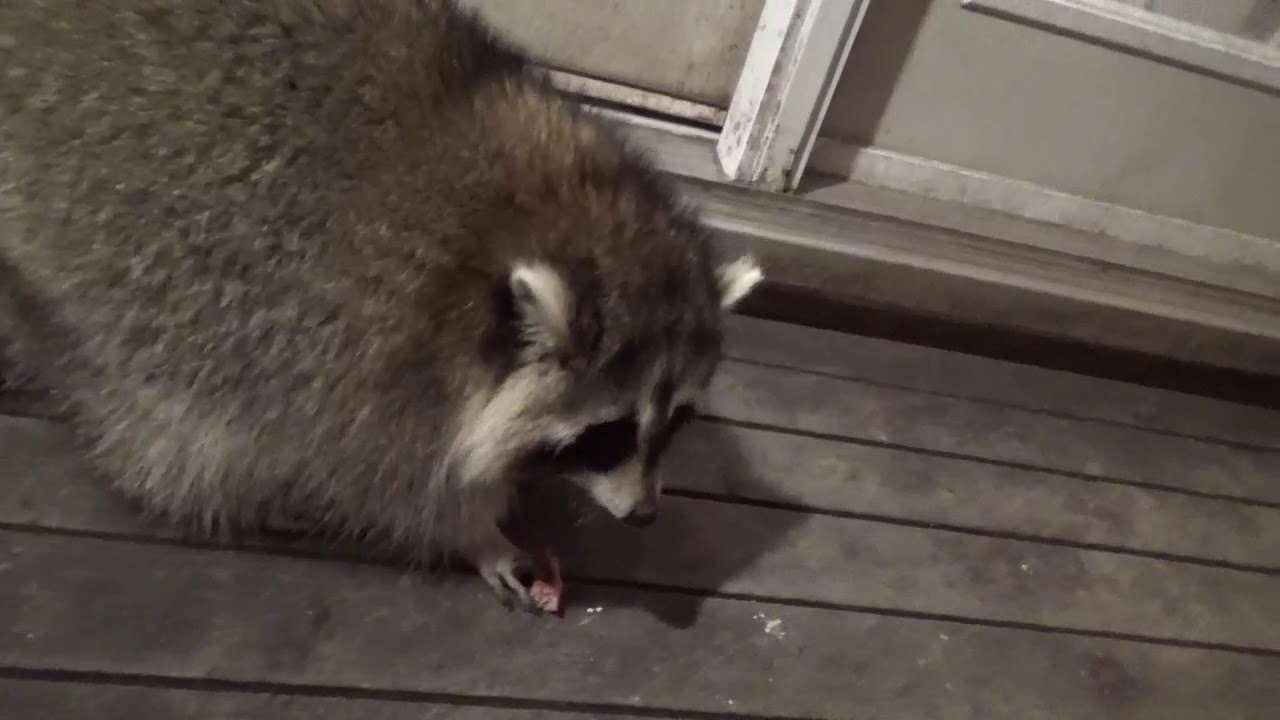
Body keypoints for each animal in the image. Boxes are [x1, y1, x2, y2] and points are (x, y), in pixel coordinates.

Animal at [0, 0, 762, 611]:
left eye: (678, 418)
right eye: (608, 432)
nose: (644, 515)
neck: (553, 204)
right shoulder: (361, 354)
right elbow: (387, 478)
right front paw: (475, 531)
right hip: (109, 290)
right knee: (157, 413)